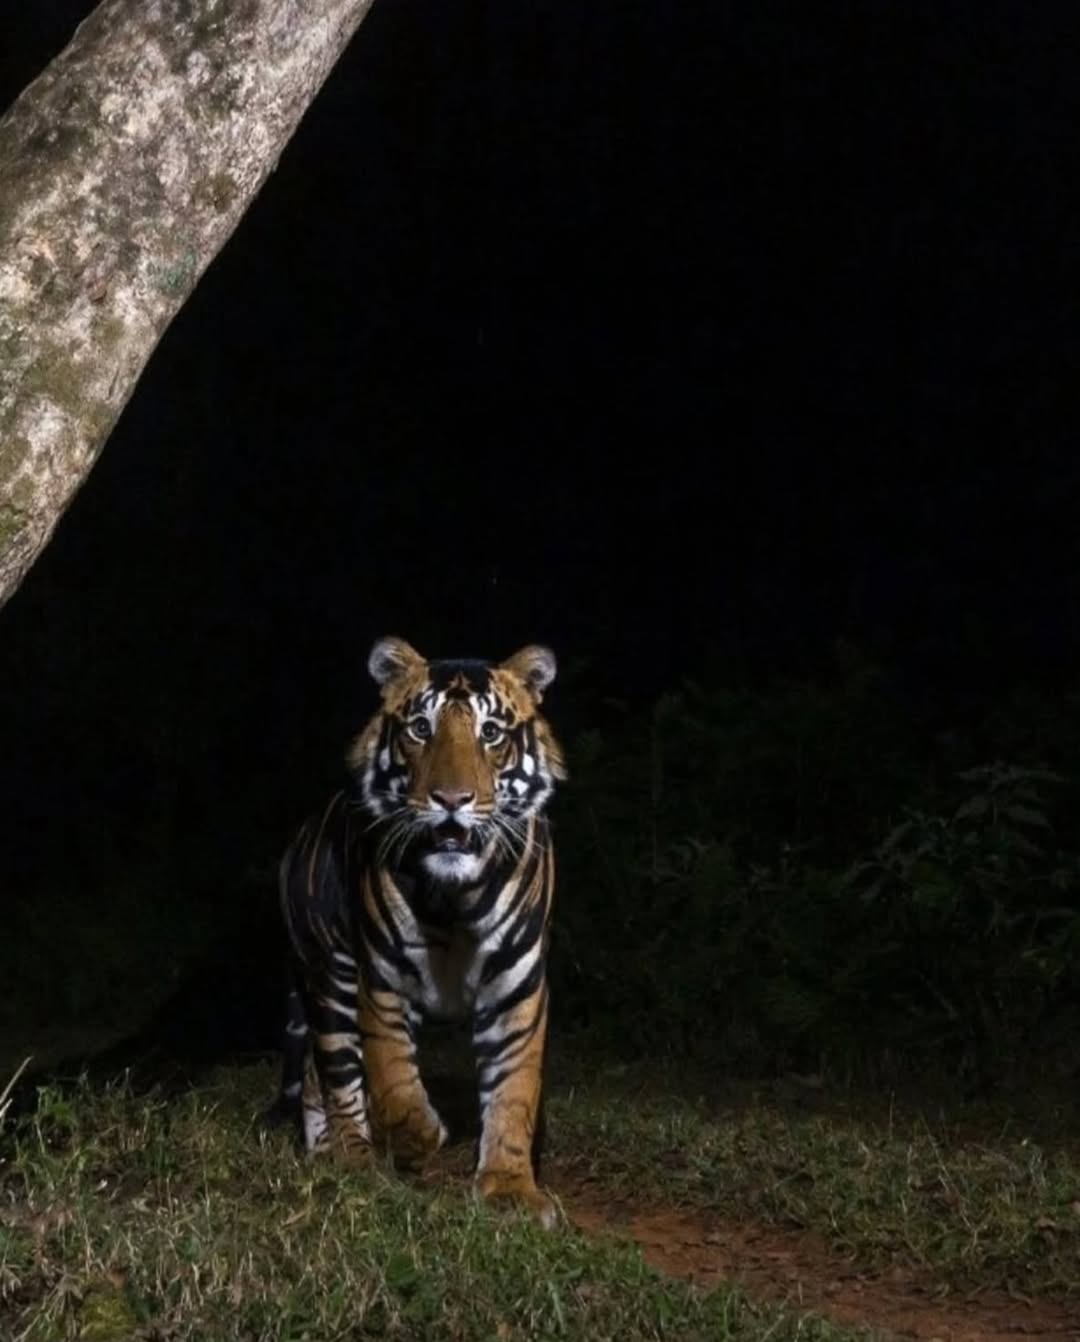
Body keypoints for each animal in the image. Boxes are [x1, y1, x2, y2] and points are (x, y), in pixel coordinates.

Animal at [273, 635, 567, 1227]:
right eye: (420, 728)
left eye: (490, 732)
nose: (451, 800)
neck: (456, 899)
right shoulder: (381, 980)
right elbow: (392, 1082)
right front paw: (419, 1137)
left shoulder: (516, 989)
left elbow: (514, 1090)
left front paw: (509, 1189)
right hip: (330, 976)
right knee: (334, 1071)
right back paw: (352, 1157)